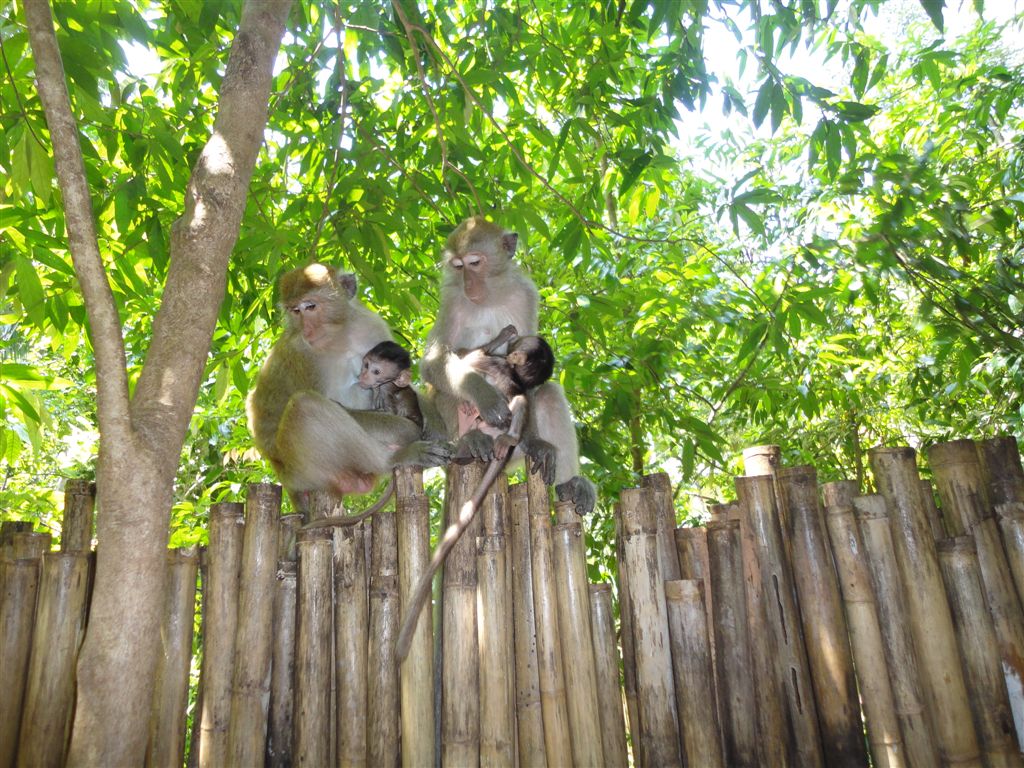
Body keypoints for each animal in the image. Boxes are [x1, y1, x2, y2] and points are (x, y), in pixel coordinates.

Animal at [246, 264, 450, 513]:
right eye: (295, 310)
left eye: (310, 306)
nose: (307, 330)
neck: (338, 337)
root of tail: (286, 481)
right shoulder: (301, 355)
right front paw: (408, 429)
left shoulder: (369, 326)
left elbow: (398, 384)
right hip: (302, 472)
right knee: (304, 405)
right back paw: (396, 458)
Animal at [419, 216, 597, 515]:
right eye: (458, 266)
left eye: (474, 263)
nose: (468, 285)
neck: (490, 295)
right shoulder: (451, 301)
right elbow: (433, 364)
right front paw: (486, 396)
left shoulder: (525, 294)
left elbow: (532, 376)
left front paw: (537, 441)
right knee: (445, 386)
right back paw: (466, 440)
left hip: (512, 455)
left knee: (549, 393)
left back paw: (570, 483)